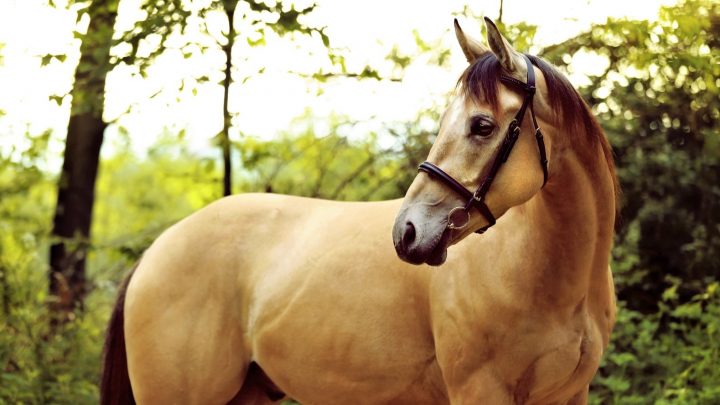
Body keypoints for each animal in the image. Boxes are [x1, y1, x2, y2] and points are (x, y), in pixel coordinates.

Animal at [101, 17, 618, 405]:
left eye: (482, 125)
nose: (407, 232)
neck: (545, 276)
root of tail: (154, 254)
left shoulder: (569, 396)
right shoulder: (480, 392)